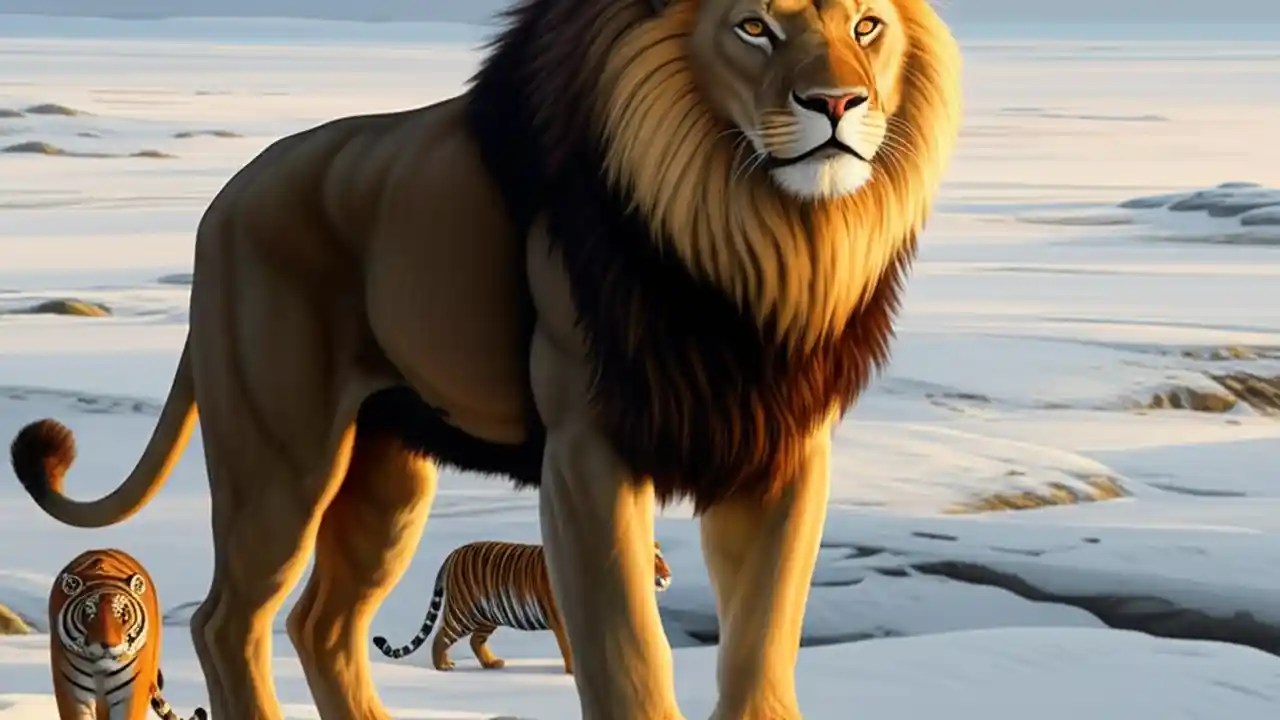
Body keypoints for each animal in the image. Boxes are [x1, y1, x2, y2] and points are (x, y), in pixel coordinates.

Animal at [373, 540, 672, 674]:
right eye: (652, 560)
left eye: (662, 557)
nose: (668, 576)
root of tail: (454, 552)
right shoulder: (563, 619)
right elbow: (569, 646)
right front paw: (574, 671)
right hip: (464, 613)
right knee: (441, 635)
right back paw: (443, 665)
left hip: (487, 616)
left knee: (475, 641)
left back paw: (492, 663)